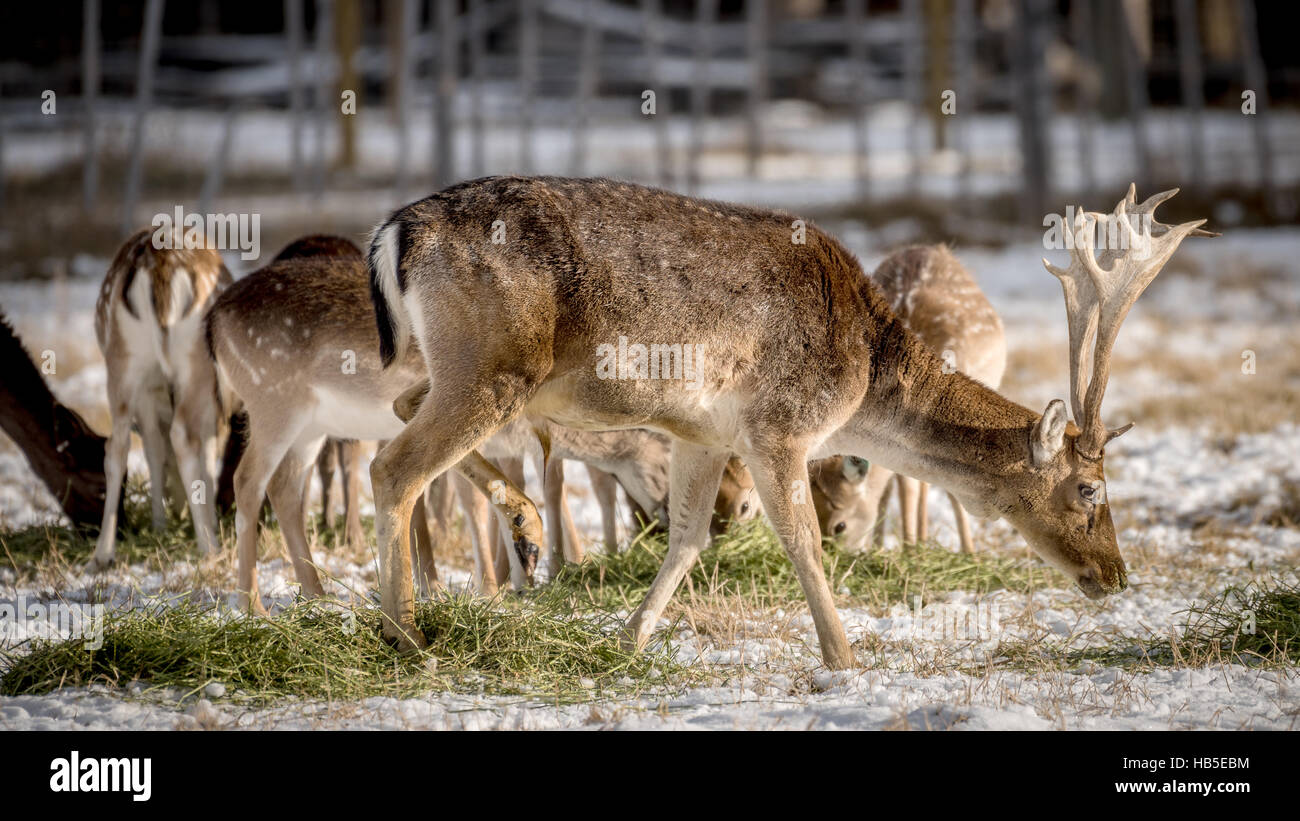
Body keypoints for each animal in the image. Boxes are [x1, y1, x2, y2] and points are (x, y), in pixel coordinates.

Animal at [88, 228, 232, 570]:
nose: (177, 509)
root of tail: (157, 263)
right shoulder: (212, 401)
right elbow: (206, 452)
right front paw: (207, 522)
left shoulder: (147, 394)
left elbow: (153, 449)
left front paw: (159, 525)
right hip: (195, 364)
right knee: (183, 436)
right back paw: (209, 547)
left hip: (123, 362)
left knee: (116, 445)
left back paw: (102, 553)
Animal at [810, 244, 1007, 554]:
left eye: (840, 526)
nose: (833, 558)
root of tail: (936, 249)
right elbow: (894, 485)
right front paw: (886, 547)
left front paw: (921, 549)